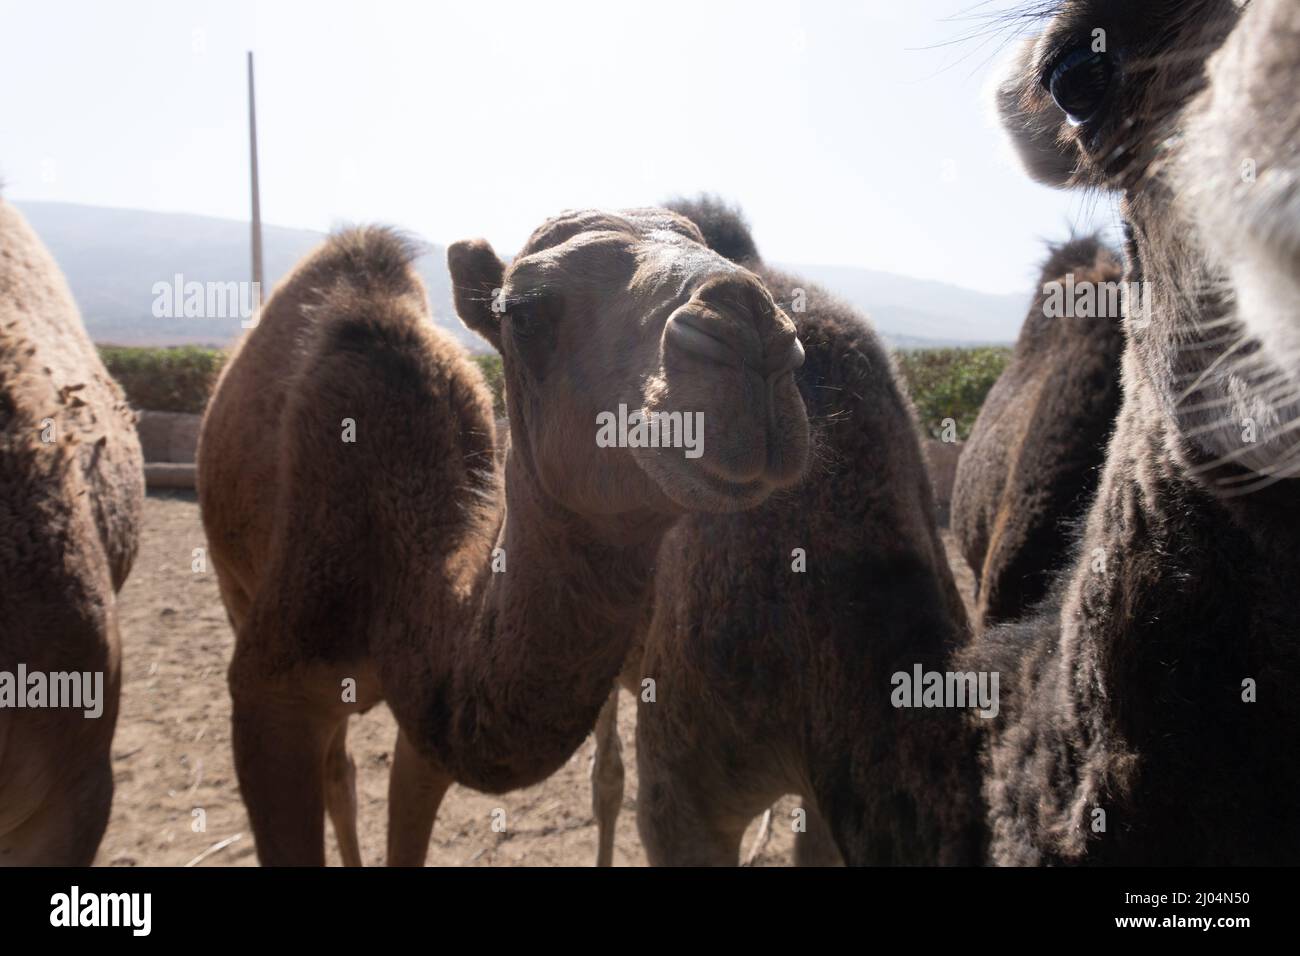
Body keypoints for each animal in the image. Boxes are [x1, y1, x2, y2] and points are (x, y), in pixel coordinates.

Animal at [196, 210, 812, 865]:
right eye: (524, 312)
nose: (753, 329)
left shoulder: (432, 720)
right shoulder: (270, 695)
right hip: (234, 584)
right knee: (338, 766)